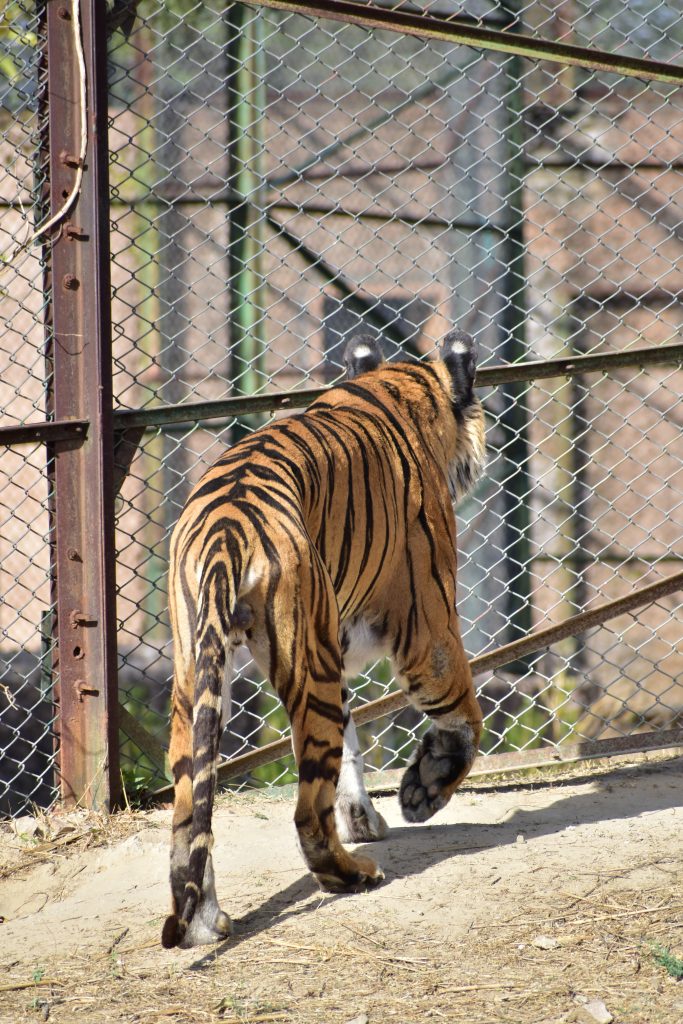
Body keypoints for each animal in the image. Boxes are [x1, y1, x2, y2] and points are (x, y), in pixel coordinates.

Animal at [161, 327, 486, 949]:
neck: (395, 389)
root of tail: (224, 528)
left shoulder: (334, 634)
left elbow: (354, 742)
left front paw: (364, 817)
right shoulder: (427, 618)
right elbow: (462, 714)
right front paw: (422, 791)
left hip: (201, 674)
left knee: (191, 809)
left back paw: (206, 922)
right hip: (309, 667)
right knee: (306, 813)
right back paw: (353, 875)